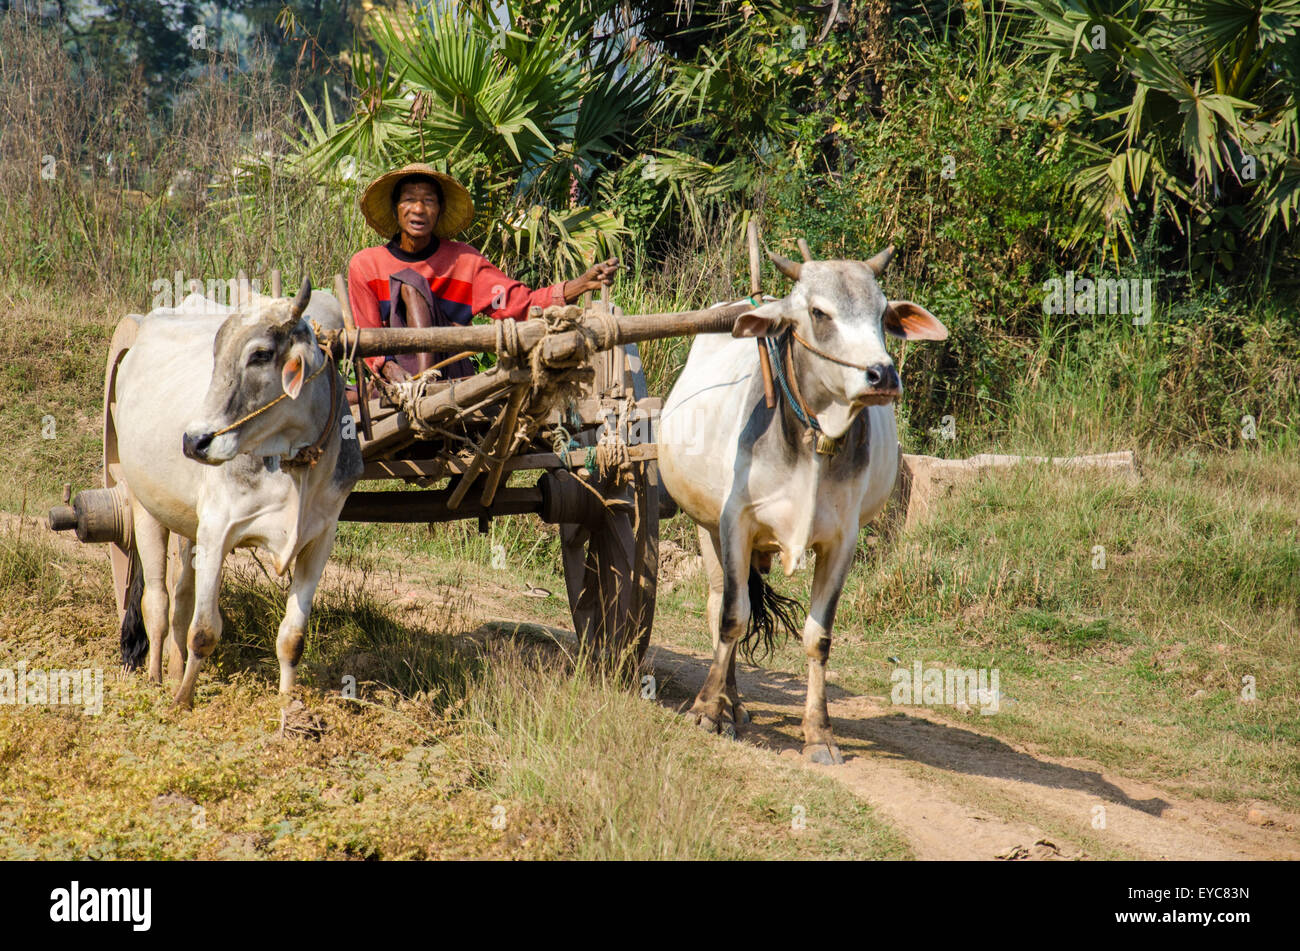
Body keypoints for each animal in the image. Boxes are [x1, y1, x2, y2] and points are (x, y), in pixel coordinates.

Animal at [114, 279, 363, 714]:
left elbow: (292, 638)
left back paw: (173, 671)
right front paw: (183, 700)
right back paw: (156, 679)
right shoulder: (217, 529)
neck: (296, 462)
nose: (194, 441)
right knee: (157, 602)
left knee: (180, 598)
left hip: (187, 526)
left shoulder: (320, 539)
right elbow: (204, 631)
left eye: (261, 354)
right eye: (216, 352)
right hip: (142, 505)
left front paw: (287, 705)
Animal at [657, 246, 947, 764]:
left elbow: (819, 637)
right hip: (705, 527)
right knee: (720, 604)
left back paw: (736, 707)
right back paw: (726, 704)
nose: (883, 375)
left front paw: (819, 734)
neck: (815, 439)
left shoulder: (842, 541)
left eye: (882, 314)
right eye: (819, 312)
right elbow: (732, 619)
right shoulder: (733, 523)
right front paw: (706, 711)